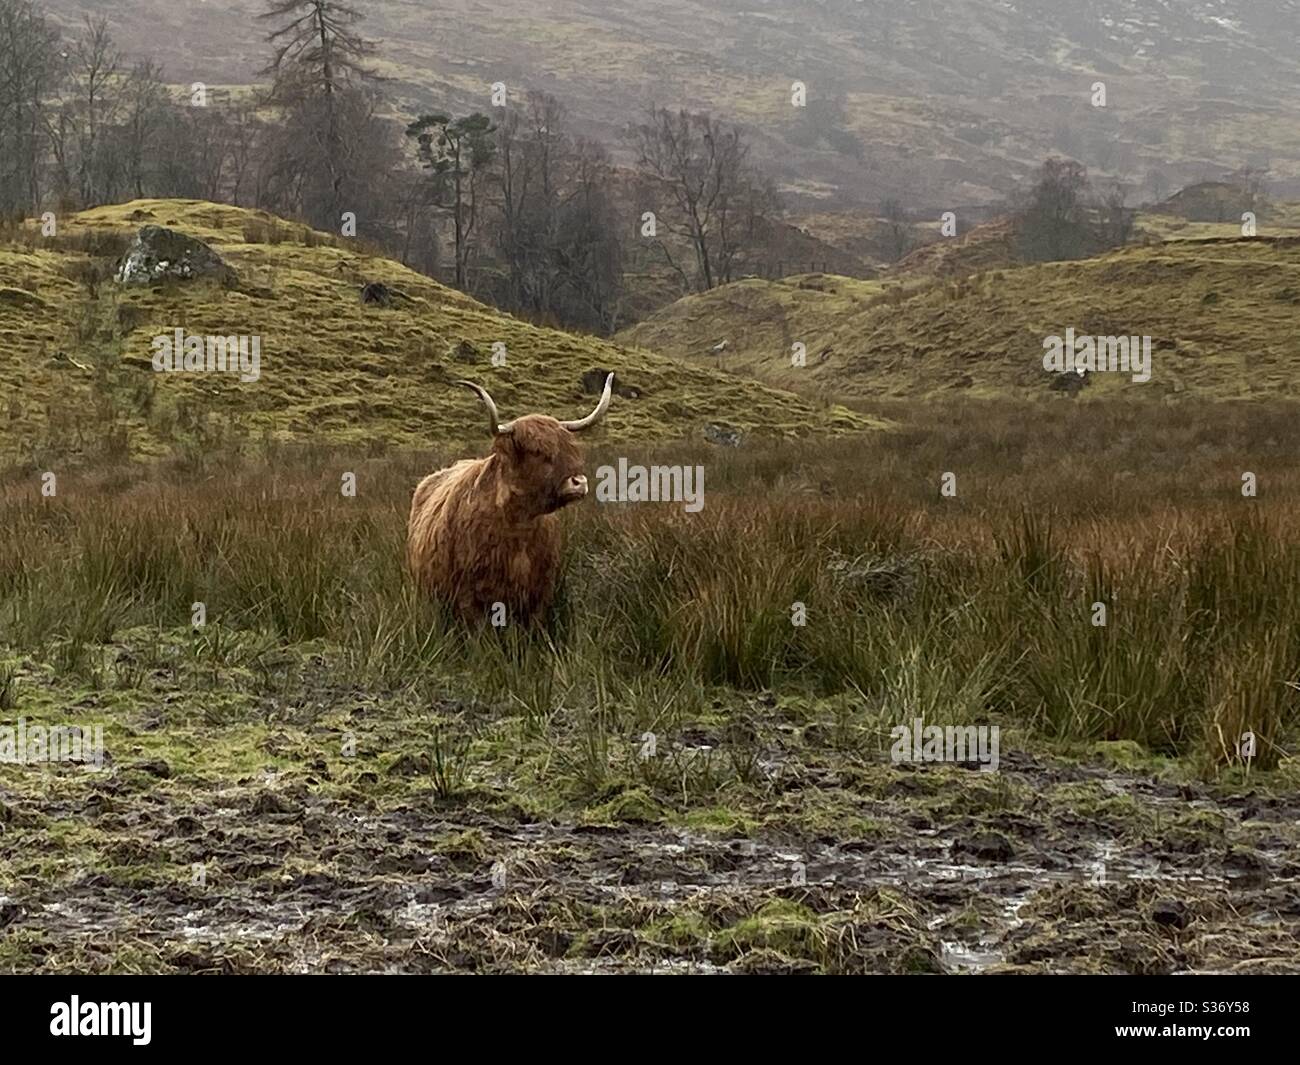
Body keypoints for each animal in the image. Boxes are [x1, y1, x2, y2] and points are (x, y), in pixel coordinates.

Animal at [405, 374, 613, 624]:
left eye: (570, 447)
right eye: (537, 451)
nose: (579, 482)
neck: (518, 529)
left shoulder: (540, 593)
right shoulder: (468, 596)